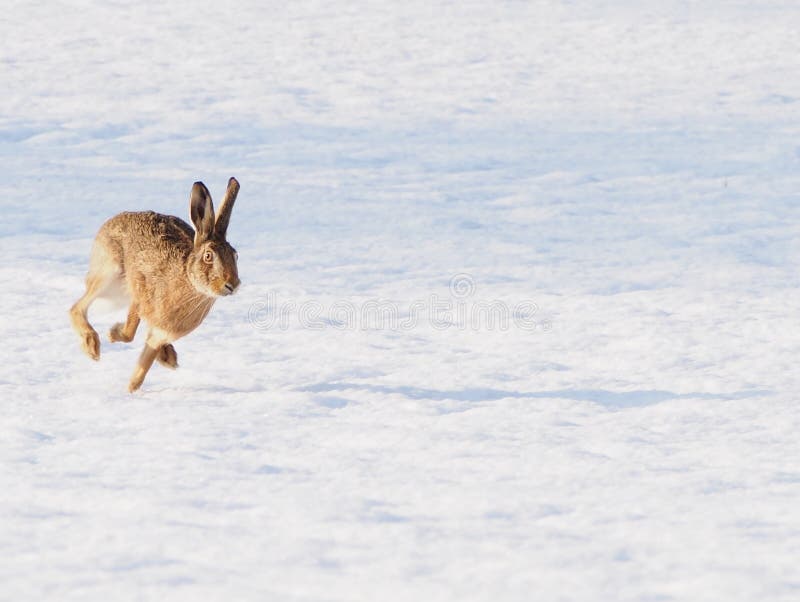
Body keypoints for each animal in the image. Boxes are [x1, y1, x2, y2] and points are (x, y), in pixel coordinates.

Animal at [69, 177, 241, 392]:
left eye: (235, 255)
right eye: (208, 256)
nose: (232, 284)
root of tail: (113, 220)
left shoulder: (161, 333)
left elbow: (141, 371)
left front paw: (131, 391)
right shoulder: (139, 292)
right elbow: (129, 333)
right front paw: (113, 333)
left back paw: (168, 357)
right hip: (110, 273)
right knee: (77, 308)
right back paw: (92, 345)